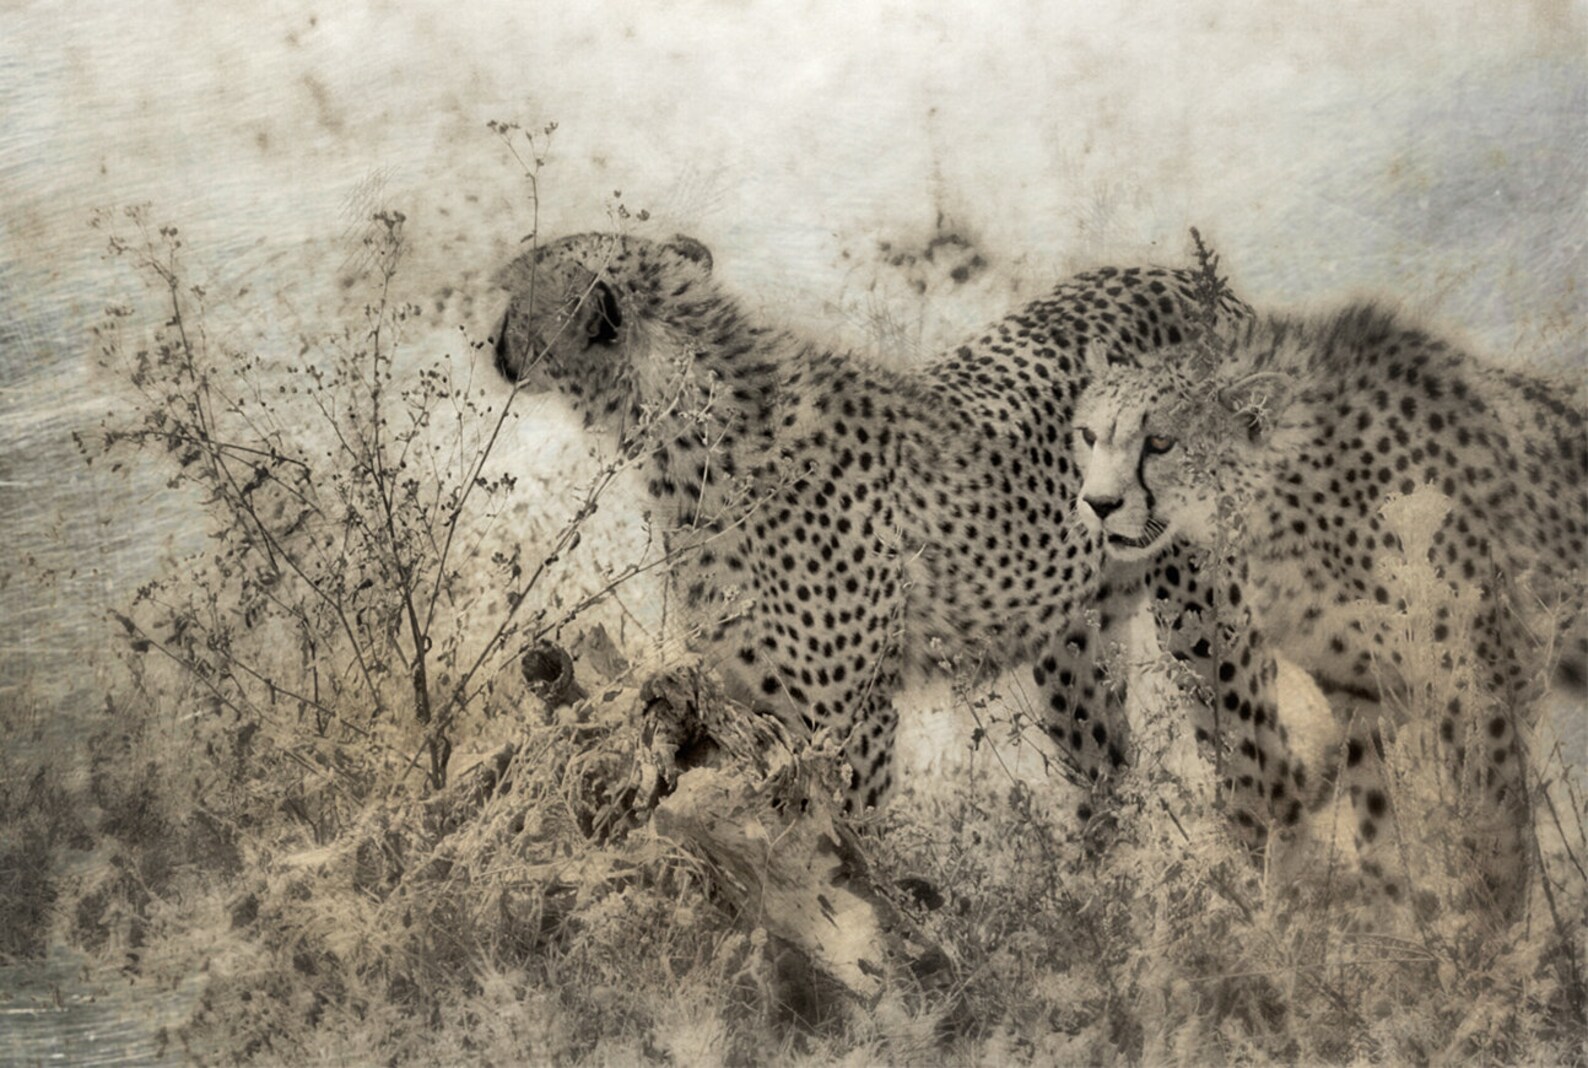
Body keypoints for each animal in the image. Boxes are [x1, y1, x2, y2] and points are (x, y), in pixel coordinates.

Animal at [489, 230, 1261, 819]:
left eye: (515, 299)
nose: (489, 339)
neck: (688, 437)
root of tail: (1190, 280)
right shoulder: (741, 699)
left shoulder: (849, 721)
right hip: (1074, 640)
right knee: (1107, 769)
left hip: (1204, 612)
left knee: (1249, 748)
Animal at [1072, 303, 1587, 902]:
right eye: (1089, 435)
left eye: (1159, 442)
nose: (1098, 504)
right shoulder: (1358, 693)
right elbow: (1377, 824)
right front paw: (1395, 915)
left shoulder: (1478, 682)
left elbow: (1493, 820)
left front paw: (1493, 918)